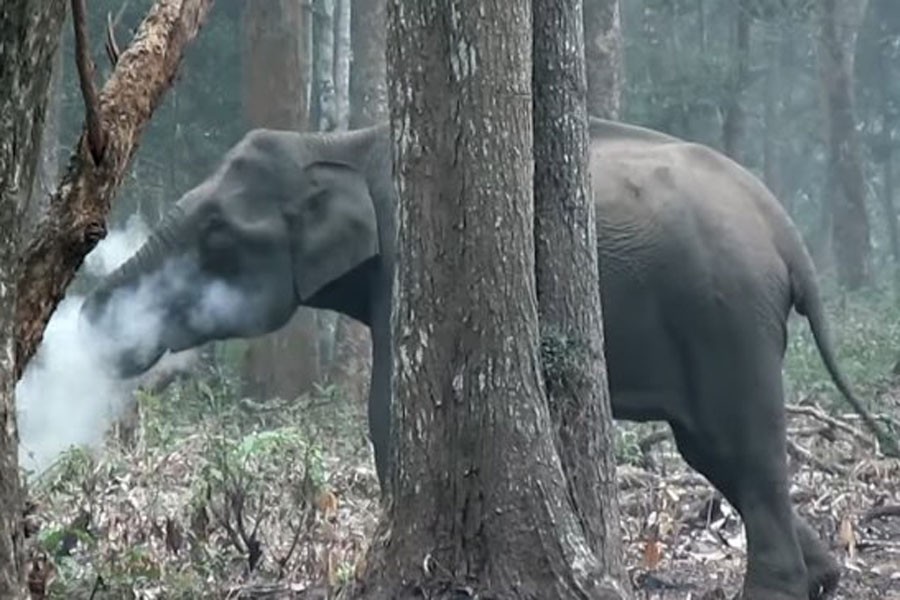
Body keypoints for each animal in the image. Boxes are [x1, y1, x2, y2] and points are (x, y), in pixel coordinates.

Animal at [81, 117, 894, 599]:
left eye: (216, 234)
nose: (84, 320)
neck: (340, 139)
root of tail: (784, 230)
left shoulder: (412, 259)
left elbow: (389, 412)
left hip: (725, 316)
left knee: (737, 446)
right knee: (717, 452)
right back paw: (825, 577)